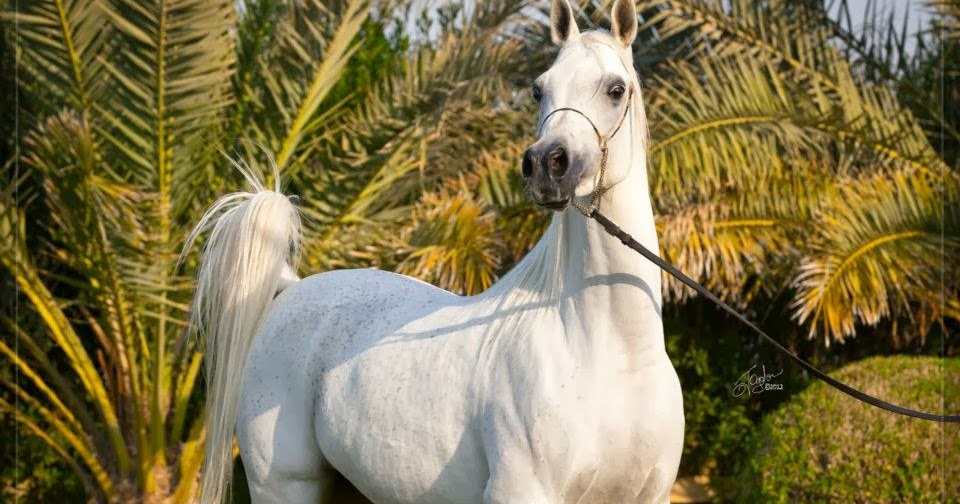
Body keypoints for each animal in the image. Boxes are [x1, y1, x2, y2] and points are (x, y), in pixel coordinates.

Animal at [185, 1, 684, 502]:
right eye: (538, 89)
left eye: (616, 89)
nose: (546, 166)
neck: (610, 355)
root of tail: (289, 290)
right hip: (285, 486)